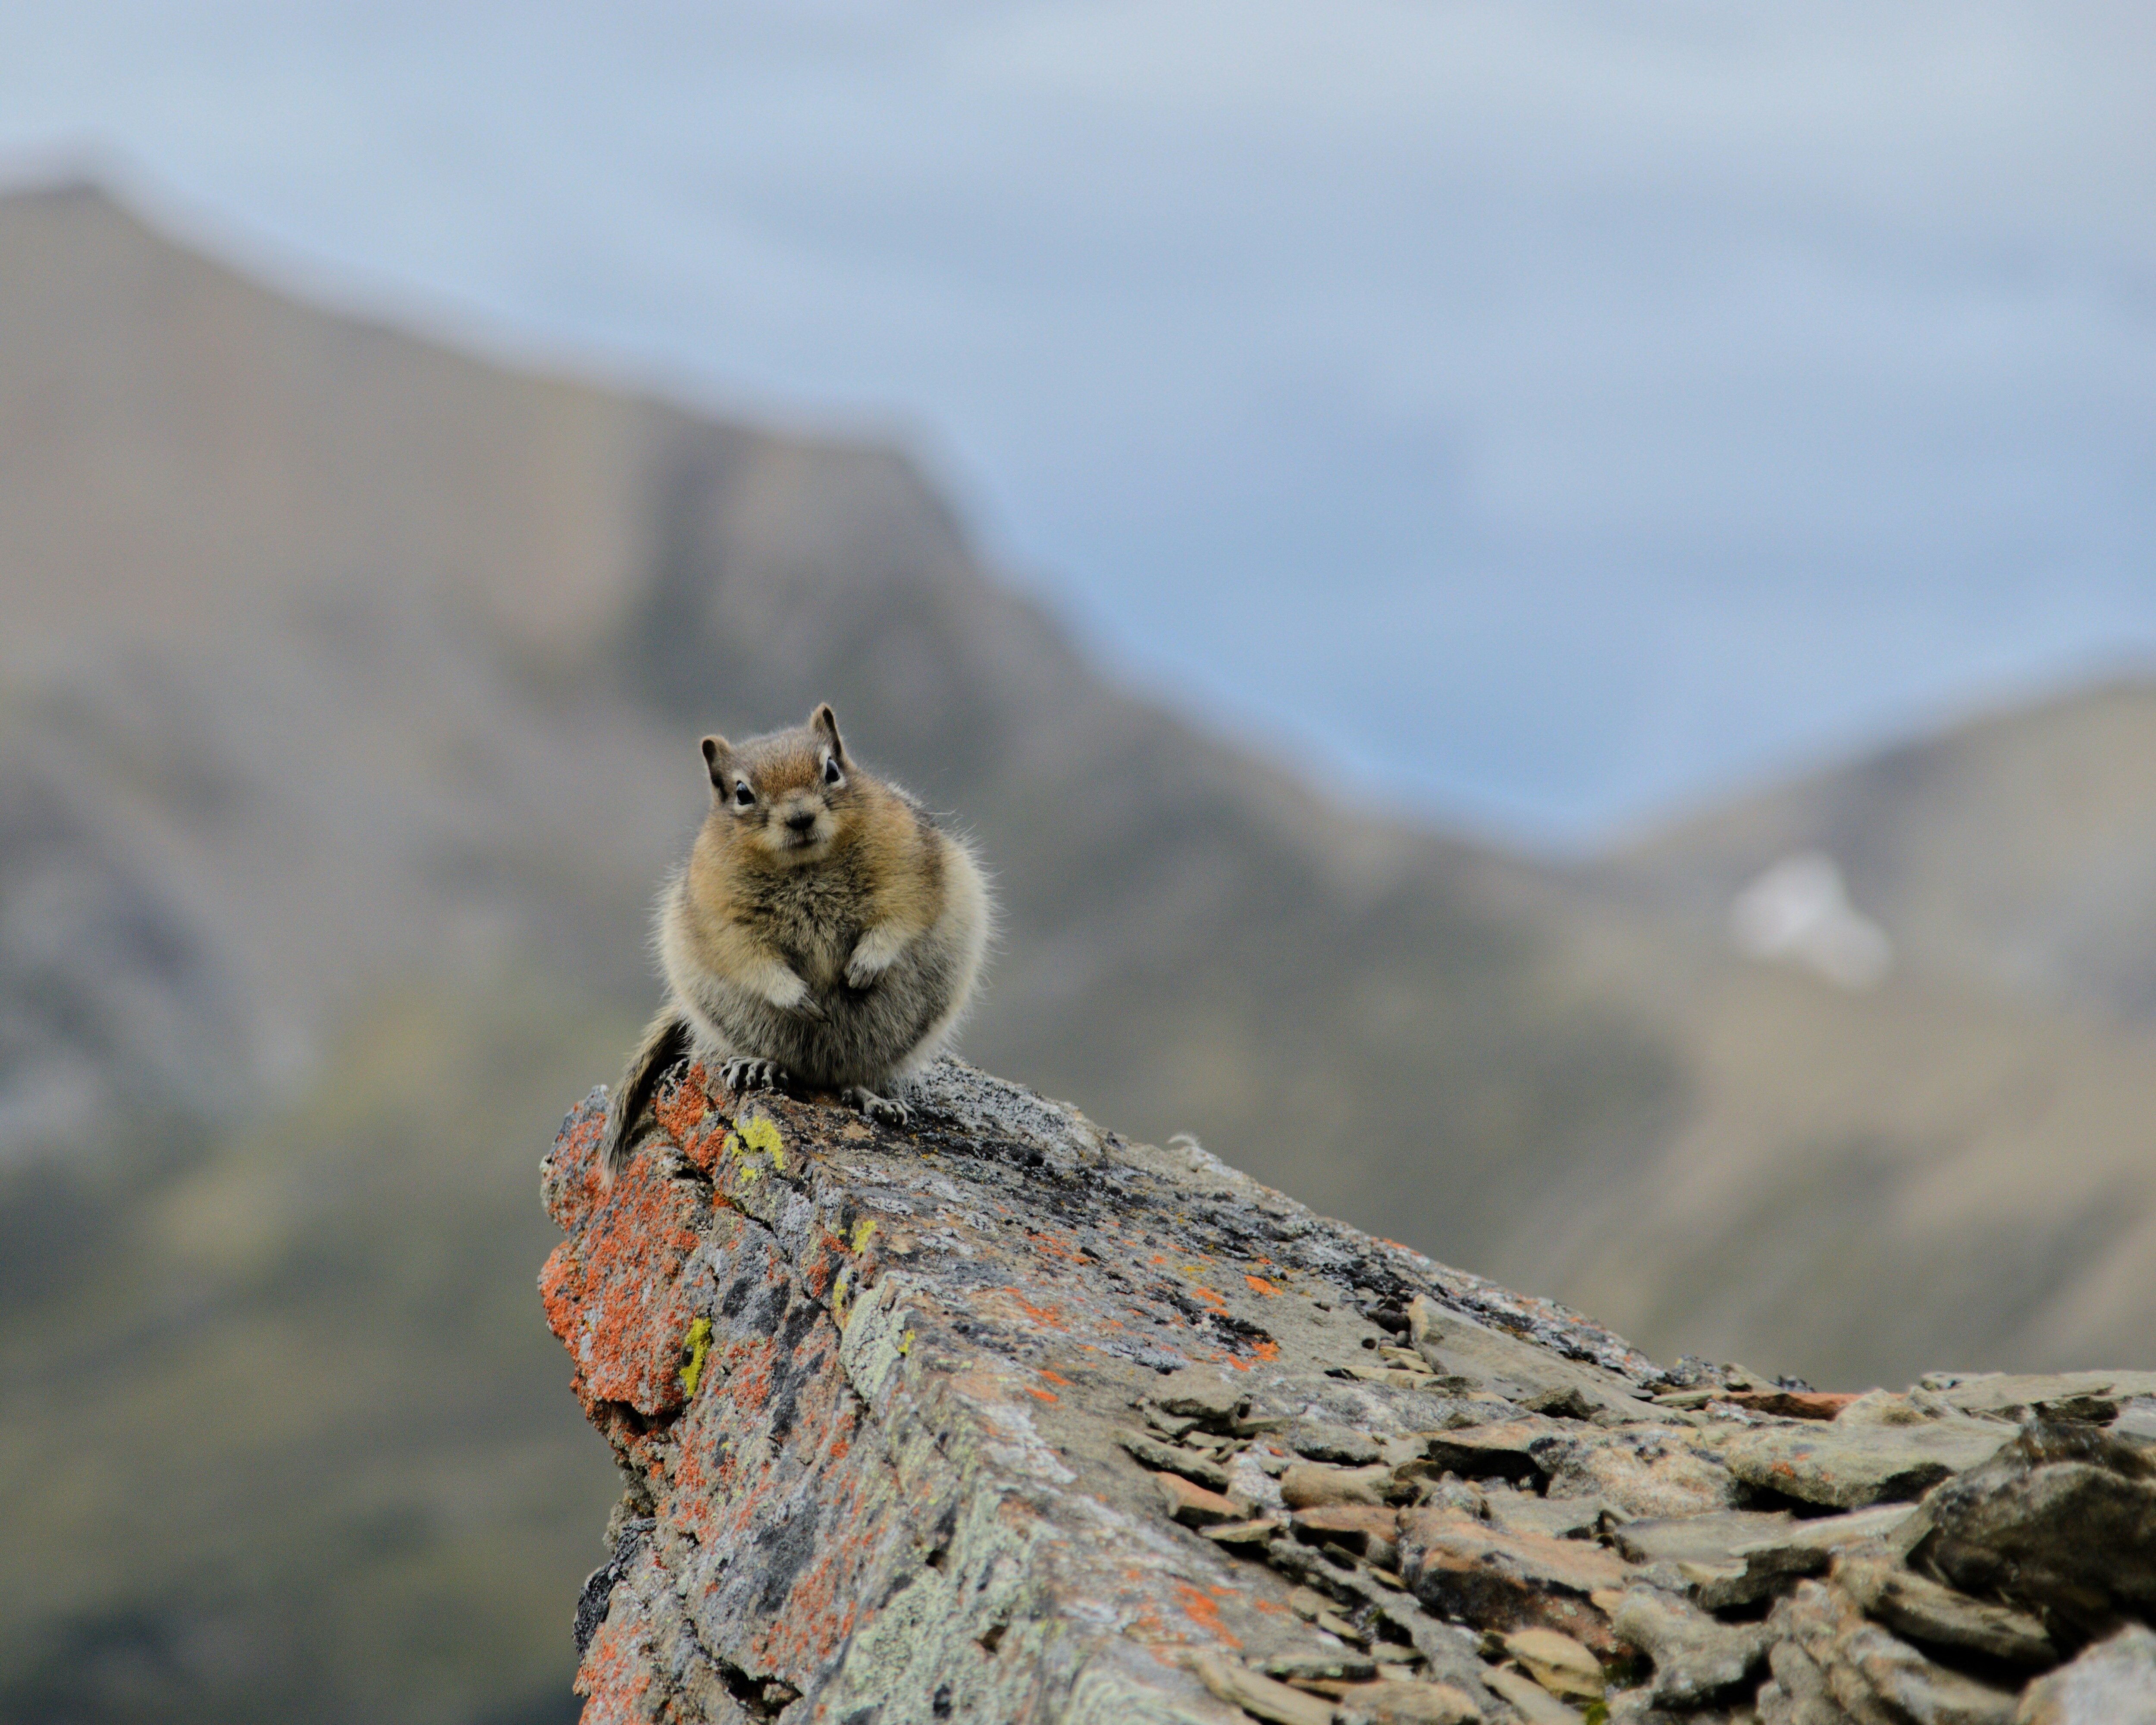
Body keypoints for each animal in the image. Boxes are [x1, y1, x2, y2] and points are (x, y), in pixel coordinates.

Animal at [601, 702, 993, 1179]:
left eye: (832, 770)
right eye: (742, 793)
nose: (801, 817)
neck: (806, 866)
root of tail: (819, 1076)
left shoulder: (910, 870)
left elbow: (895, 922)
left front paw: (862, 969)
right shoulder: (722, 918)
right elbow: (752, 960)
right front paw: (800, 999)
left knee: (856, 1075)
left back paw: (877, 1100)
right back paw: (758, 1066)